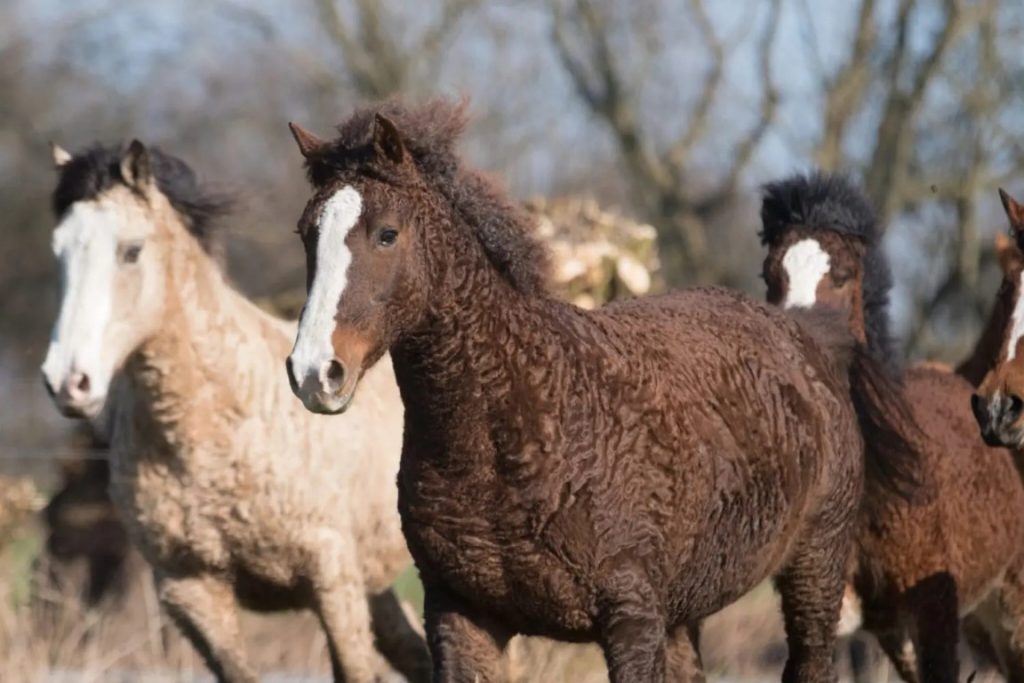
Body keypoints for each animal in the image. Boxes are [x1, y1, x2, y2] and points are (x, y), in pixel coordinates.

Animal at [283, 98, 919, 683]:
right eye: (306, 233)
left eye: (387, 234)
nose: (315, 371)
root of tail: (809, 337)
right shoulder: (459, 615)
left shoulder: (631, 622)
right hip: (687, 613)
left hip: (815, 568)